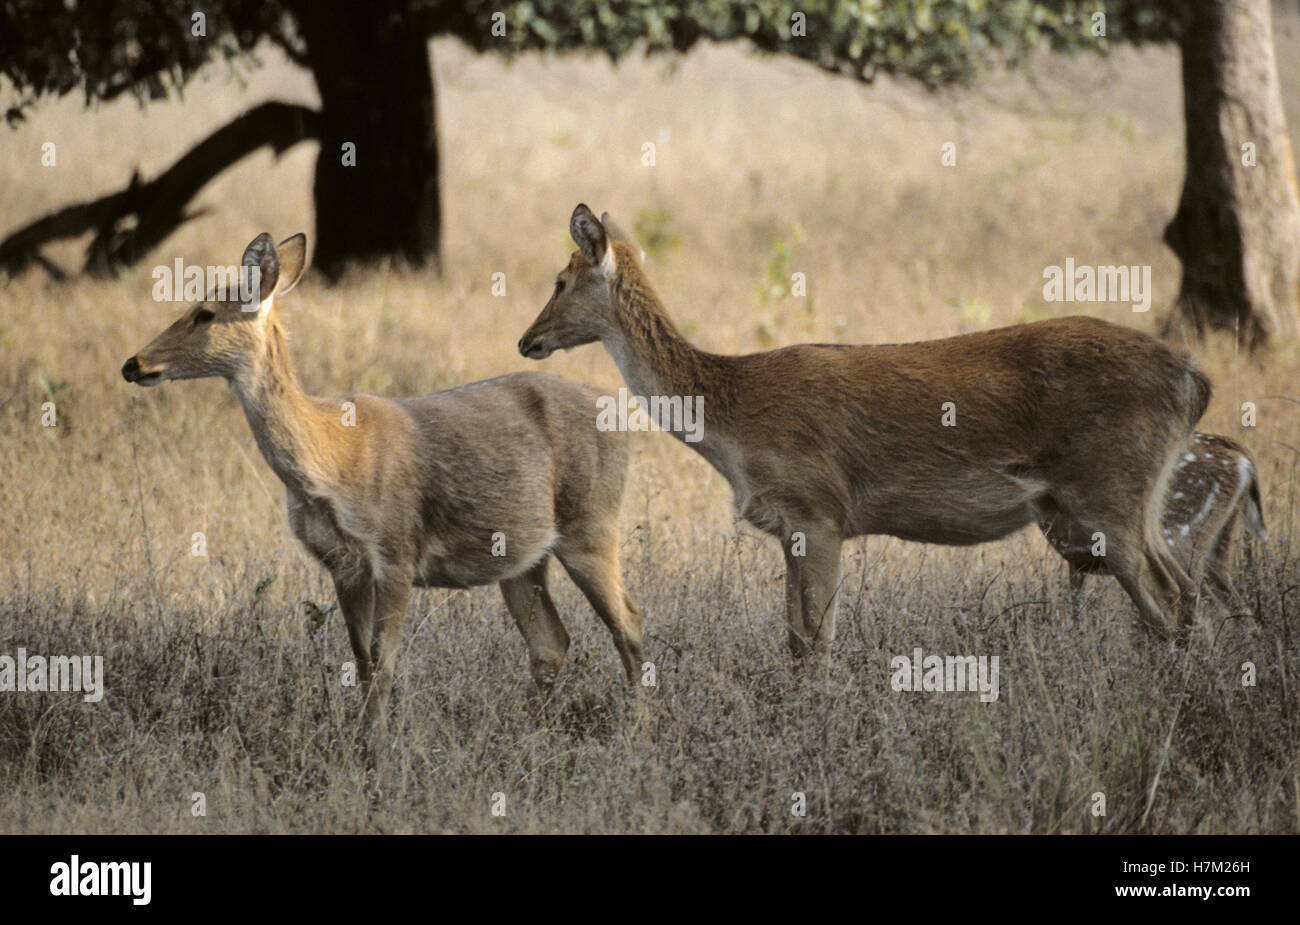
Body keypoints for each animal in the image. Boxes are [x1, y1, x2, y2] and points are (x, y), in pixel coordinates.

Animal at [122, 232, 644, 742]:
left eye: (205, 312)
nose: (134, 364)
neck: (329, 462)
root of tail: (619, 416)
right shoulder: (343, 565)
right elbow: (361, 662)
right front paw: (359, 746)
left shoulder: (397, 551)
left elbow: (384, 665)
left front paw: (376, 752)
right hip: (521, 556)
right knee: (552, 641)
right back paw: (532, 735)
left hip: (591, 524)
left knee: (629, 623)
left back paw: (640, 724)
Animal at [518, 204, 1213, 662]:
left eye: (560, 281)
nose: (527, 340)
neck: (733, 422)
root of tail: (1193, 380)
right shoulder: (789, 527)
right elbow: (795, 641)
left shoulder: (821, 511)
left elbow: (817, 643)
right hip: (1130, 498)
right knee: (1185, 590)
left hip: (1109, 487)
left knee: (1165, 597)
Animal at [1040, 431, 1266, 614]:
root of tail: (1241, 458)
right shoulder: (1076, 559)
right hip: (1217, 545)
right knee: (1238, 608)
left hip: (1178, 538)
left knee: (1206, 603)